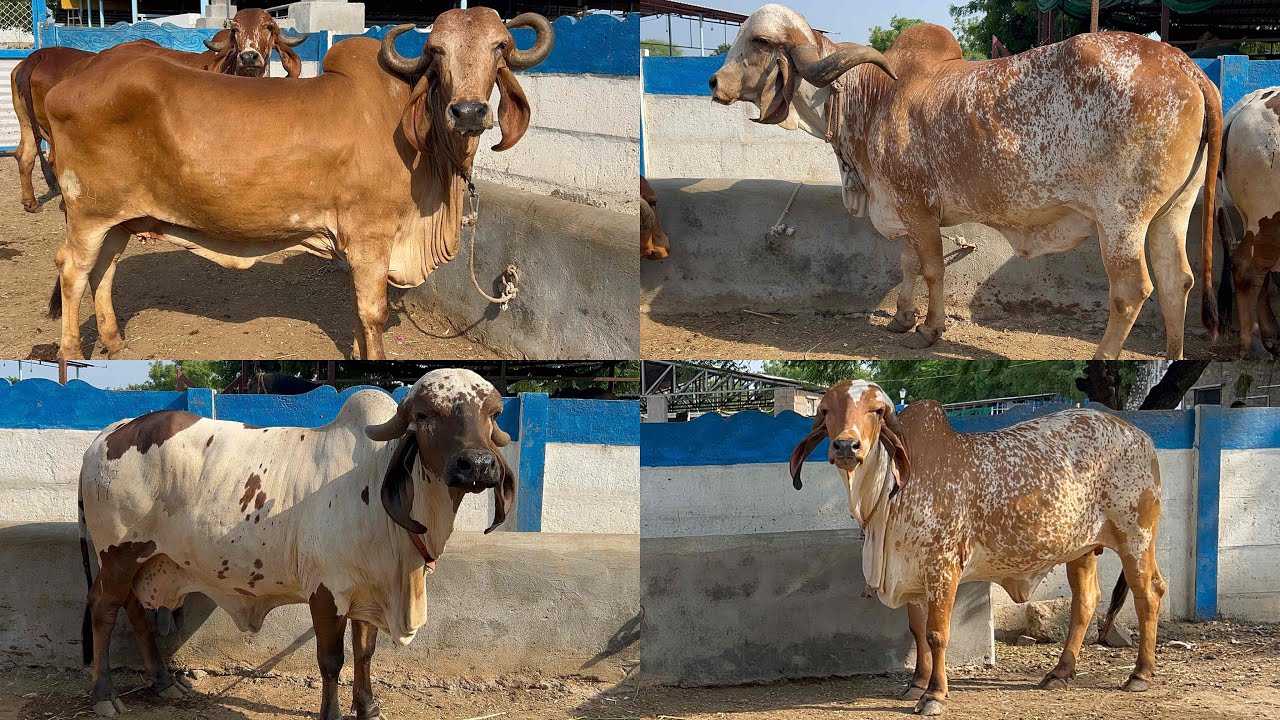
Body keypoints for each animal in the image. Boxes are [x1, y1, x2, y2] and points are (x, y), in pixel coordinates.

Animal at [8, 8, 307, 212]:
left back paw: (31, 202)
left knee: (26, 154)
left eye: (269, 26)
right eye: (235, 31)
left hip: (28, 122)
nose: (248, 56)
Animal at [44, 8, 552, 360]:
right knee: (72, 269)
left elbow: (357, 313)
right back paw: (71, 353)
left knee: (104, 270)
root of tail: (68, 85)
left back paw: (113, 342)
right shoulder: (370, 236)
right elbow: (373, 313)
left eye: (500, 46)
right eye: (437, 51)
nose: (468, 112)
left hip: (118, 218)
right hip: (88, 211)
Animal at [78, 368, 515, 719]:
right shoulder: (326, 592)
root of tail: (109, 433)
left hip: (143, 558)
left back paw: (164, 682)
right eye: (424, 415)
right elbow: (332, 660)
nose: (477, 465)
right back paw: (103, 696)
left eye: (492, 415)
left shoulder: (366, 591)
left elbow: (365, 652)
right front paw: (332, 713)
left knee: (133, 609)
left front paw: (368, 707)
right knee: (103, 609)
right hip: (118, 554)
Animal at [710, 5, 1222, 360]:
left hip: (1121, 218)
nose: (714, 81)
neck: (873, 100)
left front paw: (929, 329)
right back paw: (1171, 362)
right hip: (1172, 211)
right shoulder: (905, 212)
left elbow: (933, 269)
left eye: (759, 40)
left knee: (1132, 290)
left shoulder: (918, 209)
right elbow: (907, 265)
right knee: (1176, 280)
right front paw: (902, 319)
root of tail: (1183, 63)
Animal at [789, 380, 1165, 716]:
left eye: (876, 411)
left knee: (1149, 594)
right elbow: (917, 632)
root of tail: (1140, 435)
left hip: (1136, 537)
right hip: (1082, 549)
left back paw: (1140, 674)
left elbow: (937, 634)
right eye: (826, 410)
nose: (846, 446)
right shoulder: (912, 573)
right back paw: (1060, 672)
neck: (888, 492)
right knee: (1086, 601)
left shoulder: (943, 567)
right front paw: (916, 684)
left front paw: (934, 695)